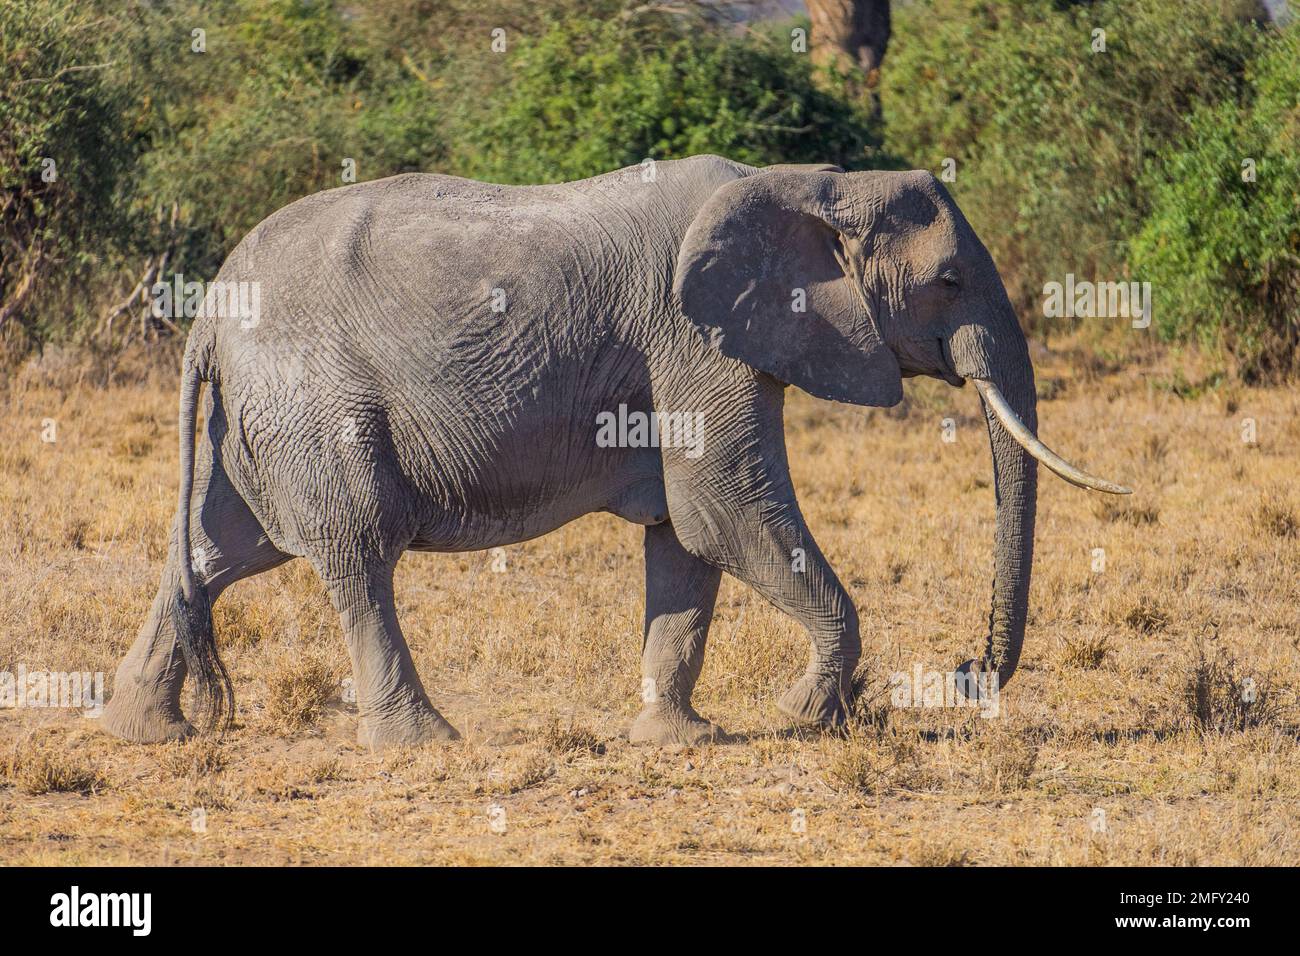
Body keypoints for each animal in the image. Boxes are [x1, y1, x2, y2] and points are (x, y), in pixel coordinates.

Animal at [99, 155, 1130, 750]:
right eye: (949, 280)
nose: (960, 673)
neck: (810, 180)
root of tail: (208, 312)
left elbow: (687, 539)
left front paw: (677, 741)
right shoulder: (693, 337)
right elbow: (723, 507)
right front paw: (803, 718)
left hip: (257, 417)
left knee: (218, 550)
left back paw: (146, 733)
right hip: (315, 403)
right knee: (356, 550)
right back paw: (426, 744)